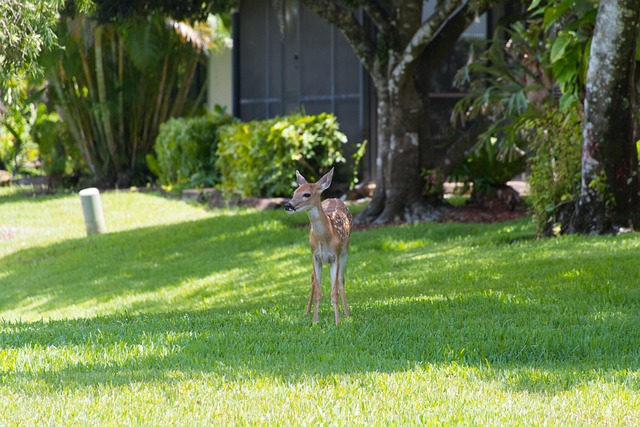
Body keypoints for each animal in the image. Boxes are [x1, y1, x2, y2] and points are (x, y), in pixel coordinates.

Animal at [284, 168, 352, 325]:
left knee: (341, 280)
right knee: (313, 279)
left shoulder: (335, 256)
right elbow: (318, 291)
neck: (326, 236)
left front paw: (338, 323)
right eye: (294, 192)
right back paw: (307, 312)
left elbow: (334, 292)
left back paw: (347, 315)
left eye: (306, 194)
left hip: (345, 250)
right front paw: (315, 321)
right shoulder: (315, 256)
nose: (288, 205)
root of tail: (335, 198)